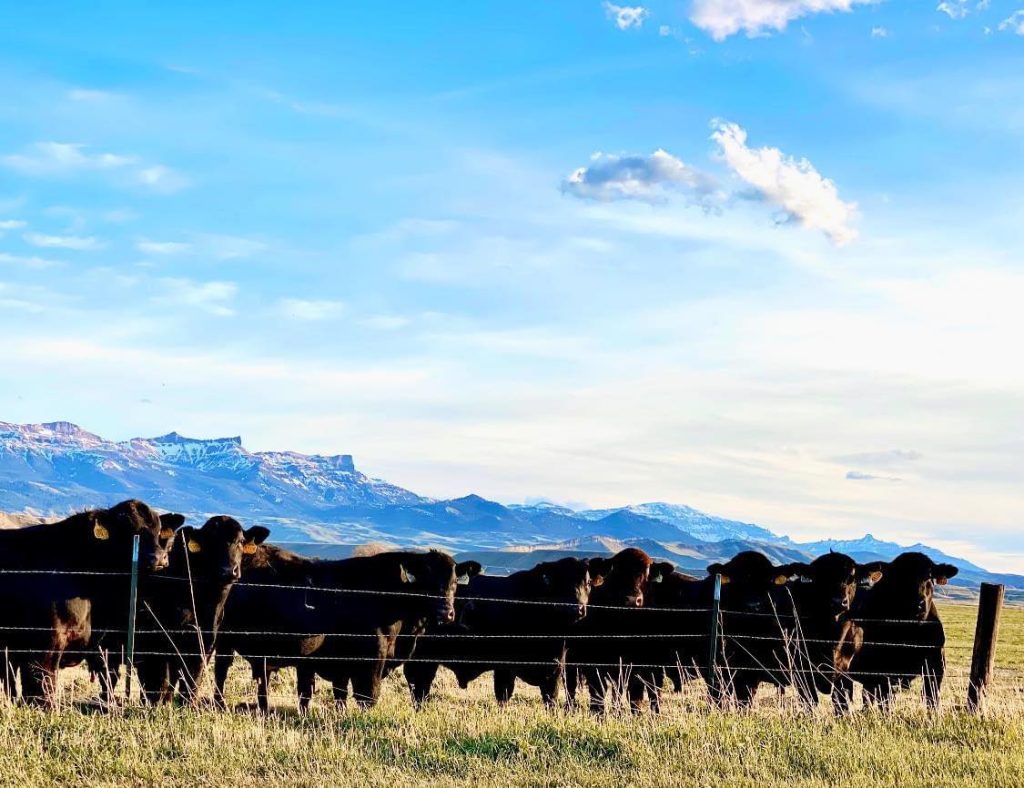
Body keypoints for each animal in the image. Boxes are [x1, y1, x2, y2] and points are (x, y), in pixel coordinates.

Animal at [403, 557, 610, 707]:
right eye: (560, 583)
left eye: (588, 582)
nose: (577, 609)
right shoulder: (505, 667)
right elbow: (503, 694)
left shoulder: (554, 669)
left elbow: (550, 698)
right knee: (419, 687)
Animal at [564, 548, 674, 713]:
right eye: (616, 572)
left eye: (647, 573)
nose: (632, 600)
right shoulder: (595, 664)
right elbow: (598, 692)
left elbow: (634, 695)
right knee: (570, 685)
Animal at [847, 551, 958, 710]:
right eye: (899, 578)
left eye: (929, 575)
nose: (918, 603)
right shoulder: (882, 672)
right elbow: (886, 703)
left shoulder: (936, 664)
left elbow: (931, 698)